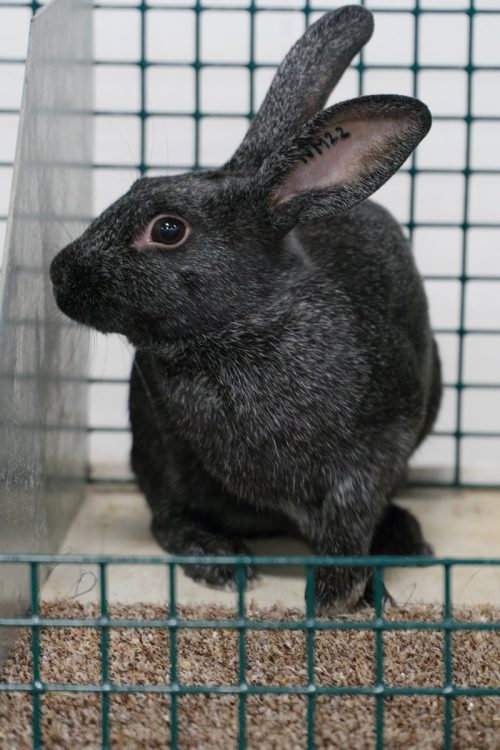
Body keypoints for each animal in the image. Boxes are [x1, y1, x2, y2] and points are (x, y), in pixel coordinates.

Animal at [50, 5, 441, 611]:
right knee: (166, 515)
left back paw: (405, 541)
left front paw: (337, 597)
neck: (238, 335)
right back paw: (219, 559)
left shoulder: (377, 449)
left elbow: (349, 522)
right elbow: (166, 515)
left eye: (168, 229)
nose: (58, 275)